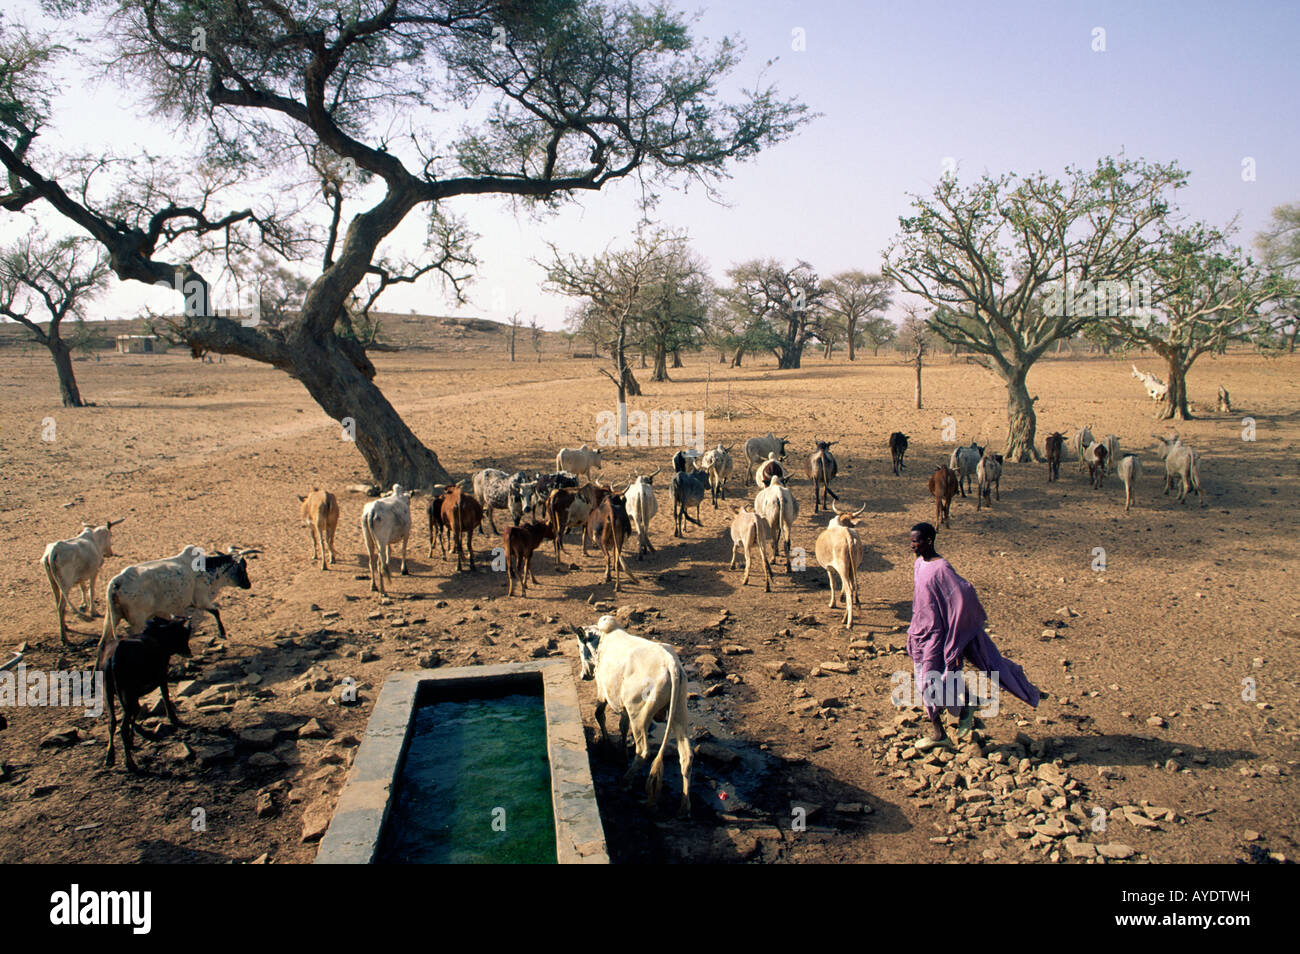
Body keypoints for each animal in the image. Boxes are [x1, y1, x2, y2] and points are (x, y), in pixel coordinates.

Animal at [99, 615, 194, 773]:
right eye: (182, 634)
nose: (188, 651)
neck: (157, 636)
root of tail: (114, 656)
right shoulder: (162, 677)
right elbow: (165, 696)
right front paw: (174, 719)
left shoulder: (133, 696)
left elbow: (136, 712)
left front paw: (133, 738)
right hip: (126, 694)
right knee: (122, 727)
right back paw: (130, 762)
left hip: (109, 693)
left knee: (112, 722)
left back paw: (110, 757)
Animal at [101, 546, 255, 651]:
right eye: (243, 567)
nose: (248, 584)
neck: (208, 570)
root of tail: (117, 582)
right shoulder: (201, 599)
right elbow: (216, 612)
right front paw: (222, 633)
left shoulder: (175, 610)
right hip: (137, 623)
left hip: (110, 618)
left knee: (102, 644)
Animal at [574, 615, 693, 815]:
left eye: (579, 646)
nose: (584, 675)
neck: (602, 641)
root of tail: (672, 665)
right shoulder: (624, 708)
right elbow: (622, 727)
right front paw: (622, 753)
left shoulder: (602, 690)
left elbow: (599, 714)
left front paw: (607, 745)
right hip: (679, 711)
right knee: (686, 756)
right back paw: (684, 807)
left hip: (639, 714)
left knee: (643, 751)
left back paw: (625, 781)